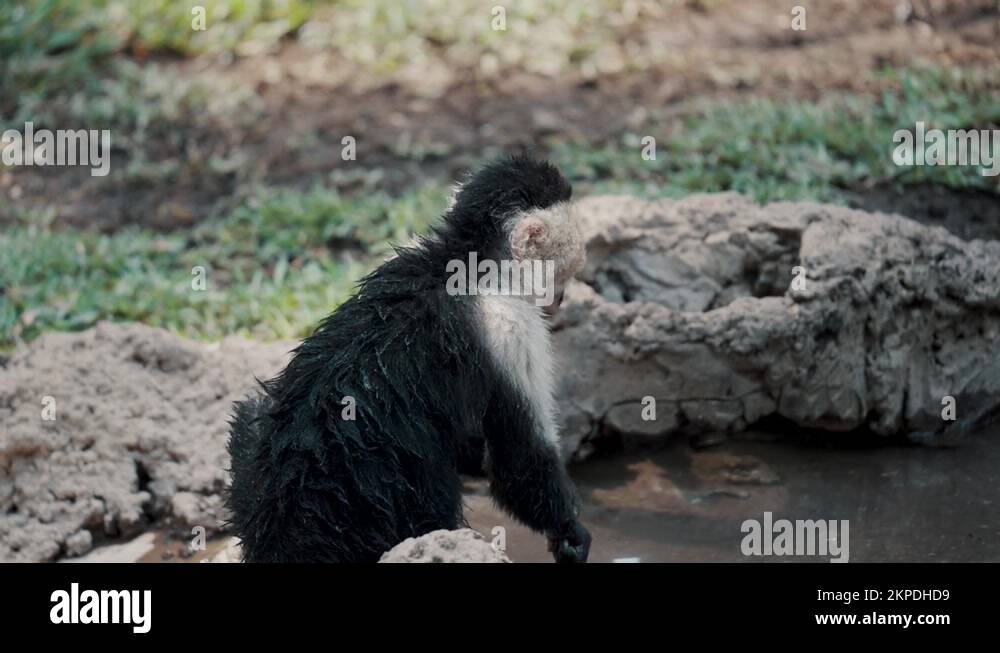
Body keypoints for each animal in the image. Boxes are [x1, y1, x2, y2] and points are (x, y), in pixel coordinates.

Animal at [226, 154, 591, 563]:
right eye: (564, 274)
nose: (560, 299)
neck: (466, 263)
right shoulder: (509, 324)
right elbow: (519, 460)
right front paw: (569, 532)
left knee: (253, 413)